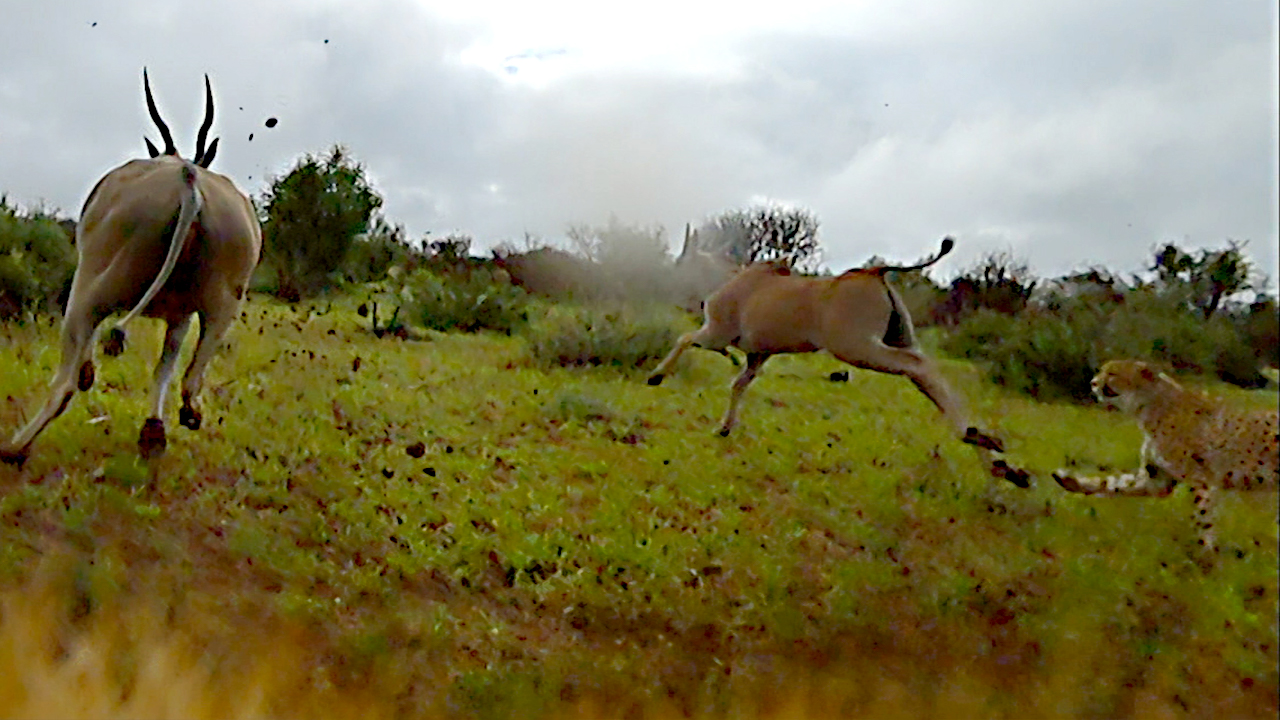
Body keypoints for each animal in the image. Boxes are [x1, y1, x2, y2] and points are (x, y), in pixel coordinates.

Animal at [1052, 359, 1278, 566]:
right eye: (1101, 370)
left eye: (1113, 373)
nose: (1093, 383)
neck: (1147, 407)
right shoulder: (1156, 480)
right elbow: (1114, 483)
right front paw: (1071, 481)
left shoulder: (1201, 480)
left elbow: (1202, 518)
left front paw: (1205, 556)